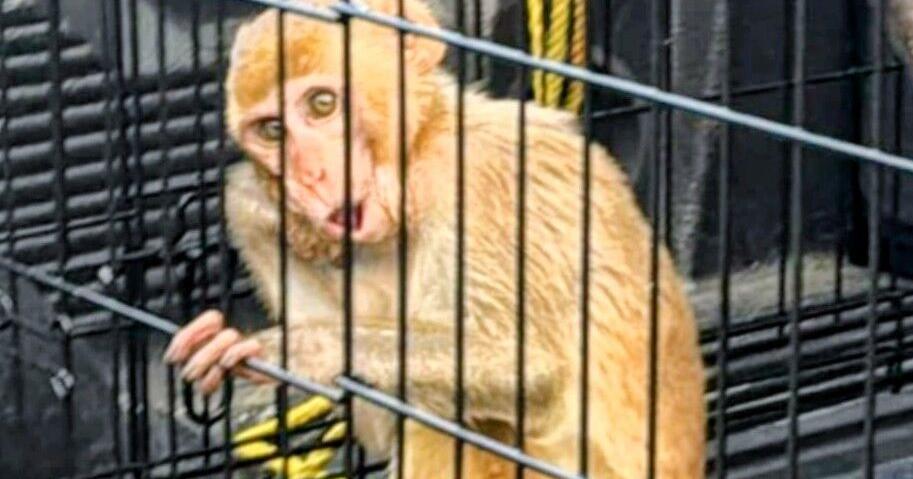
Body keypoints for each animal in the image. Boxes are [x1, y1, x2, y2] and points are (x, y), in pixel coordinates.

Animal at [163, 0, 706, 477]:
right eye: (273, 131)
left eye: (322, 104)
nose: (310, 176)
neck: (423, 149)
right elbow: (377, 423)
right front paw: (259, 207)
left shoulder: (484, 181)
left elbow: (532, 370)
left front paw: (307, 348)